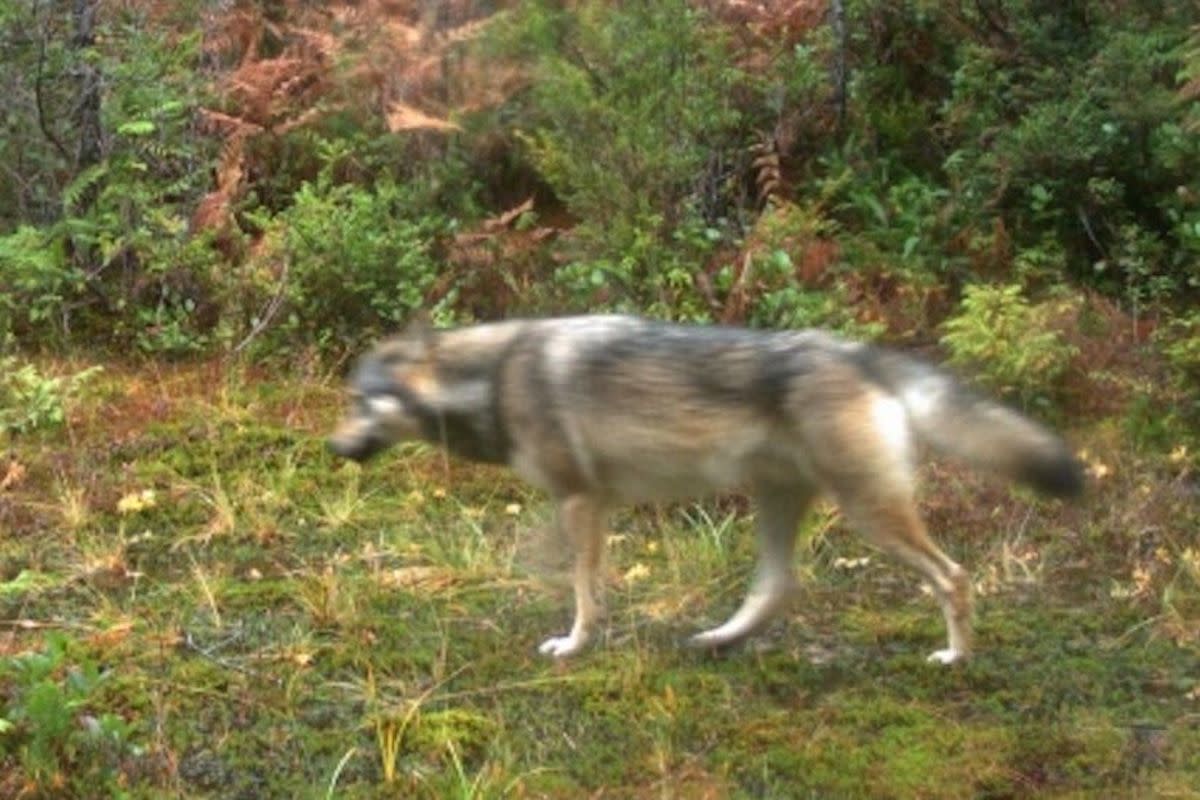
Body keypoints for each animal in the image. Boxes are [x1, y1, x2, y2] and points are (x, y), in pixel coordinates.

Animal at [328, 315, 1083, 664]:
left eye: (362, 402)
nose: (332, 448)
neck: (492, 376)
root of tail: (857, 353)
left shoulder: (579, 501)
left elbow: (579, 590)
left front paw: (573, 646)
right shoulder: (583, 504)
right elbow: (570, 574)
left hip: (869, 513)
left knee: (953, 577)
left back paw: (956, 656)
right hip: (777, 504)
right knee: (776, 587)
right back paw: (716, 640)